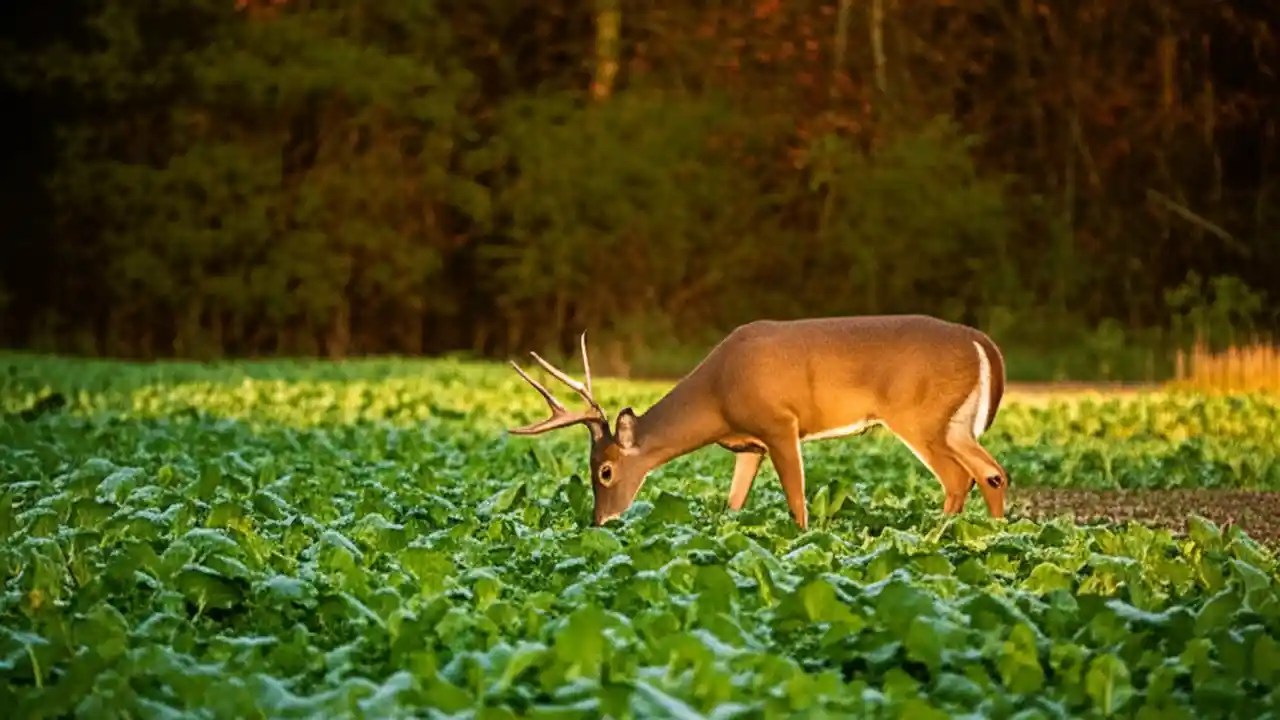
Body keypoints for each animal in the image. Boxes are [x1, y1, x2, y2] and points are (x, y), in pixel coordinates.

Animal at [506, 315, 1010, 530]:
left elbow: (798, 502)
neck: (718, 392)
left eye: (605, 471)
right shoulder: (751, 445)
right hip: (954, 423)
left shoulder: (779, 424)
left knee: (959, 478)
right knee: (992, 472)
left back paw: (933, 539)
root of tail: (983, 342)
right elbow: (733, 503)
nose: (599, 521)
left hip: (920, 417)